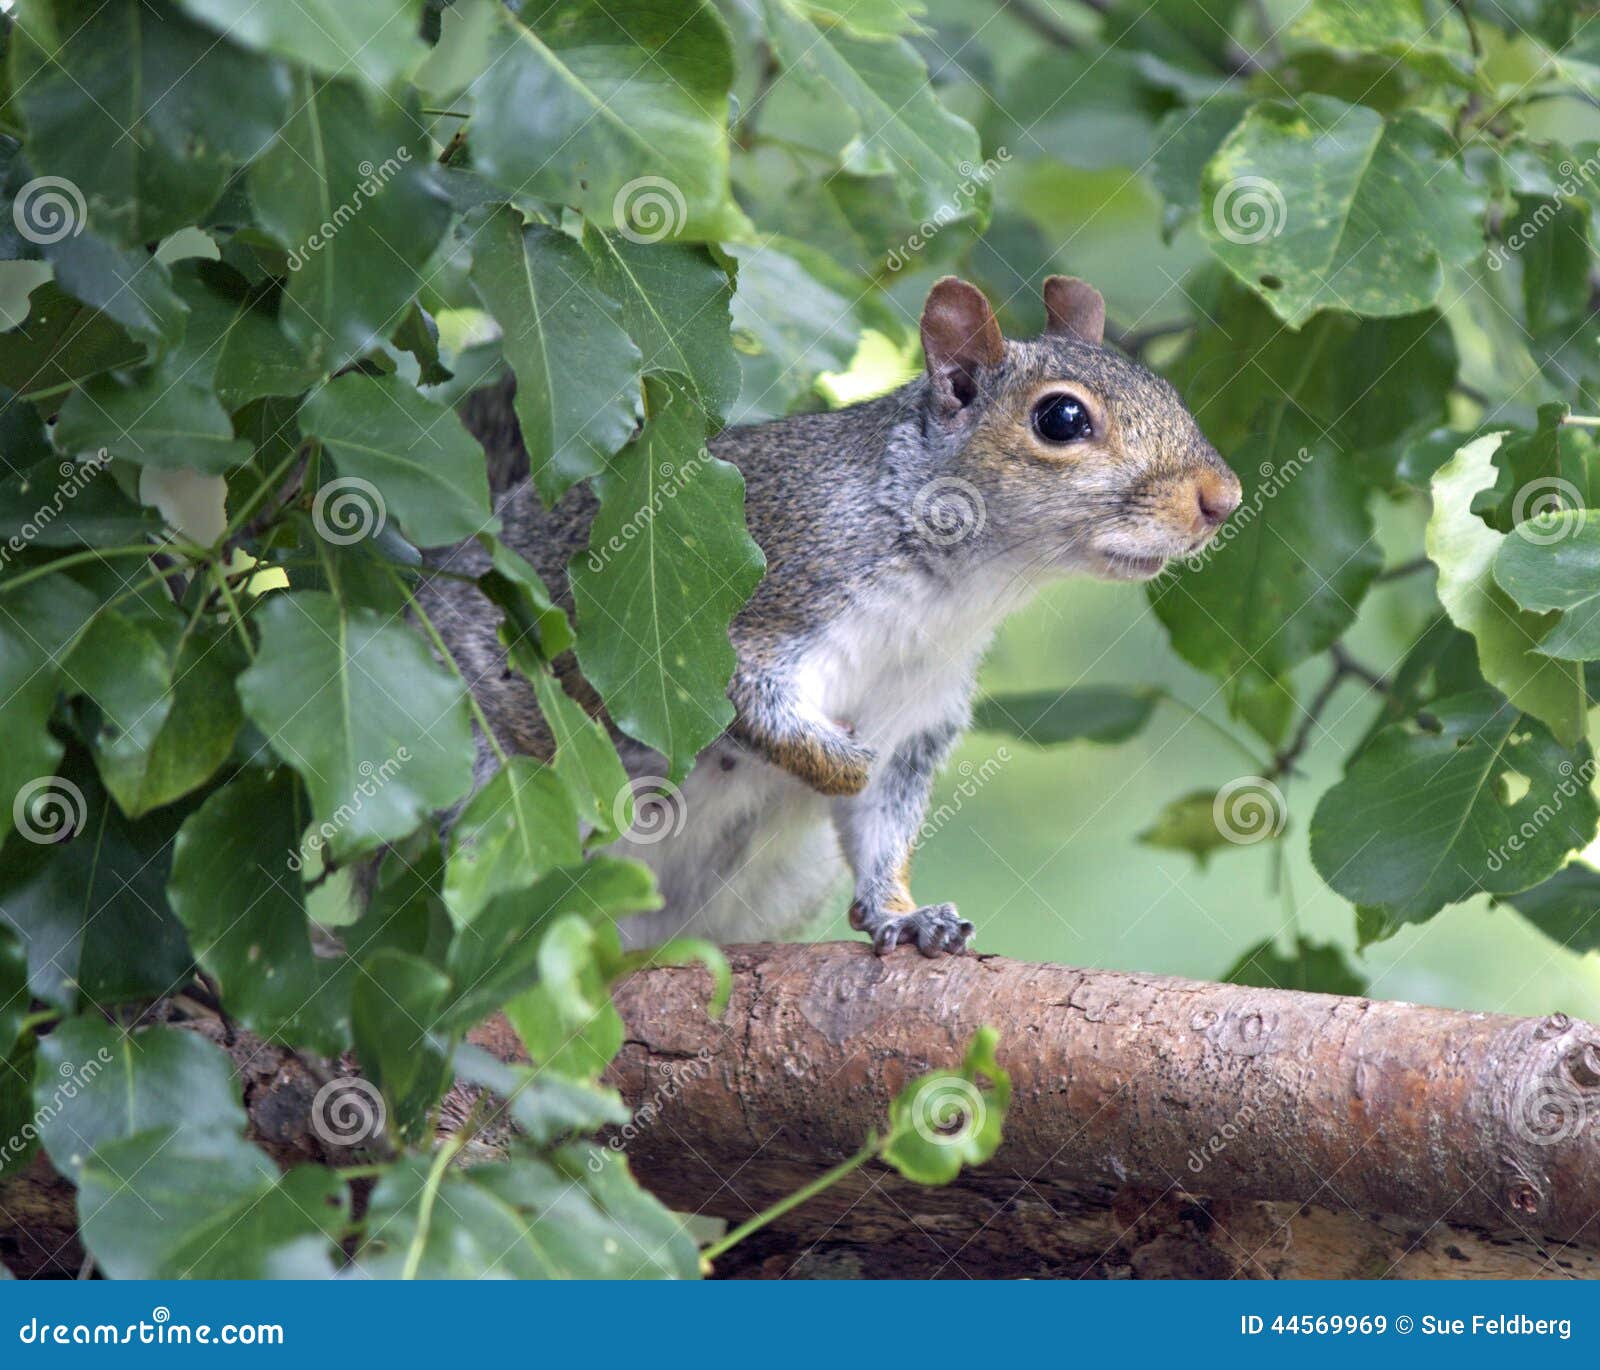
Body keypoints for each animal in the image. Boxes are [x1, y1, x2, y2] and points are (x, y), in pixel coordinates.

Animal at [426, 275, 1241, 957]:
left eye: (1166, 388)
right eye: (1062, 417)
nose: (1222, 500)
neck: (956, 588)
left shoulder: (919, 706)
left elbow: (884, 825)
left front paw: (903, 915)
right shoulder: (750, 607)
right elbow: (752, 708)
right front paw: (845, 761)